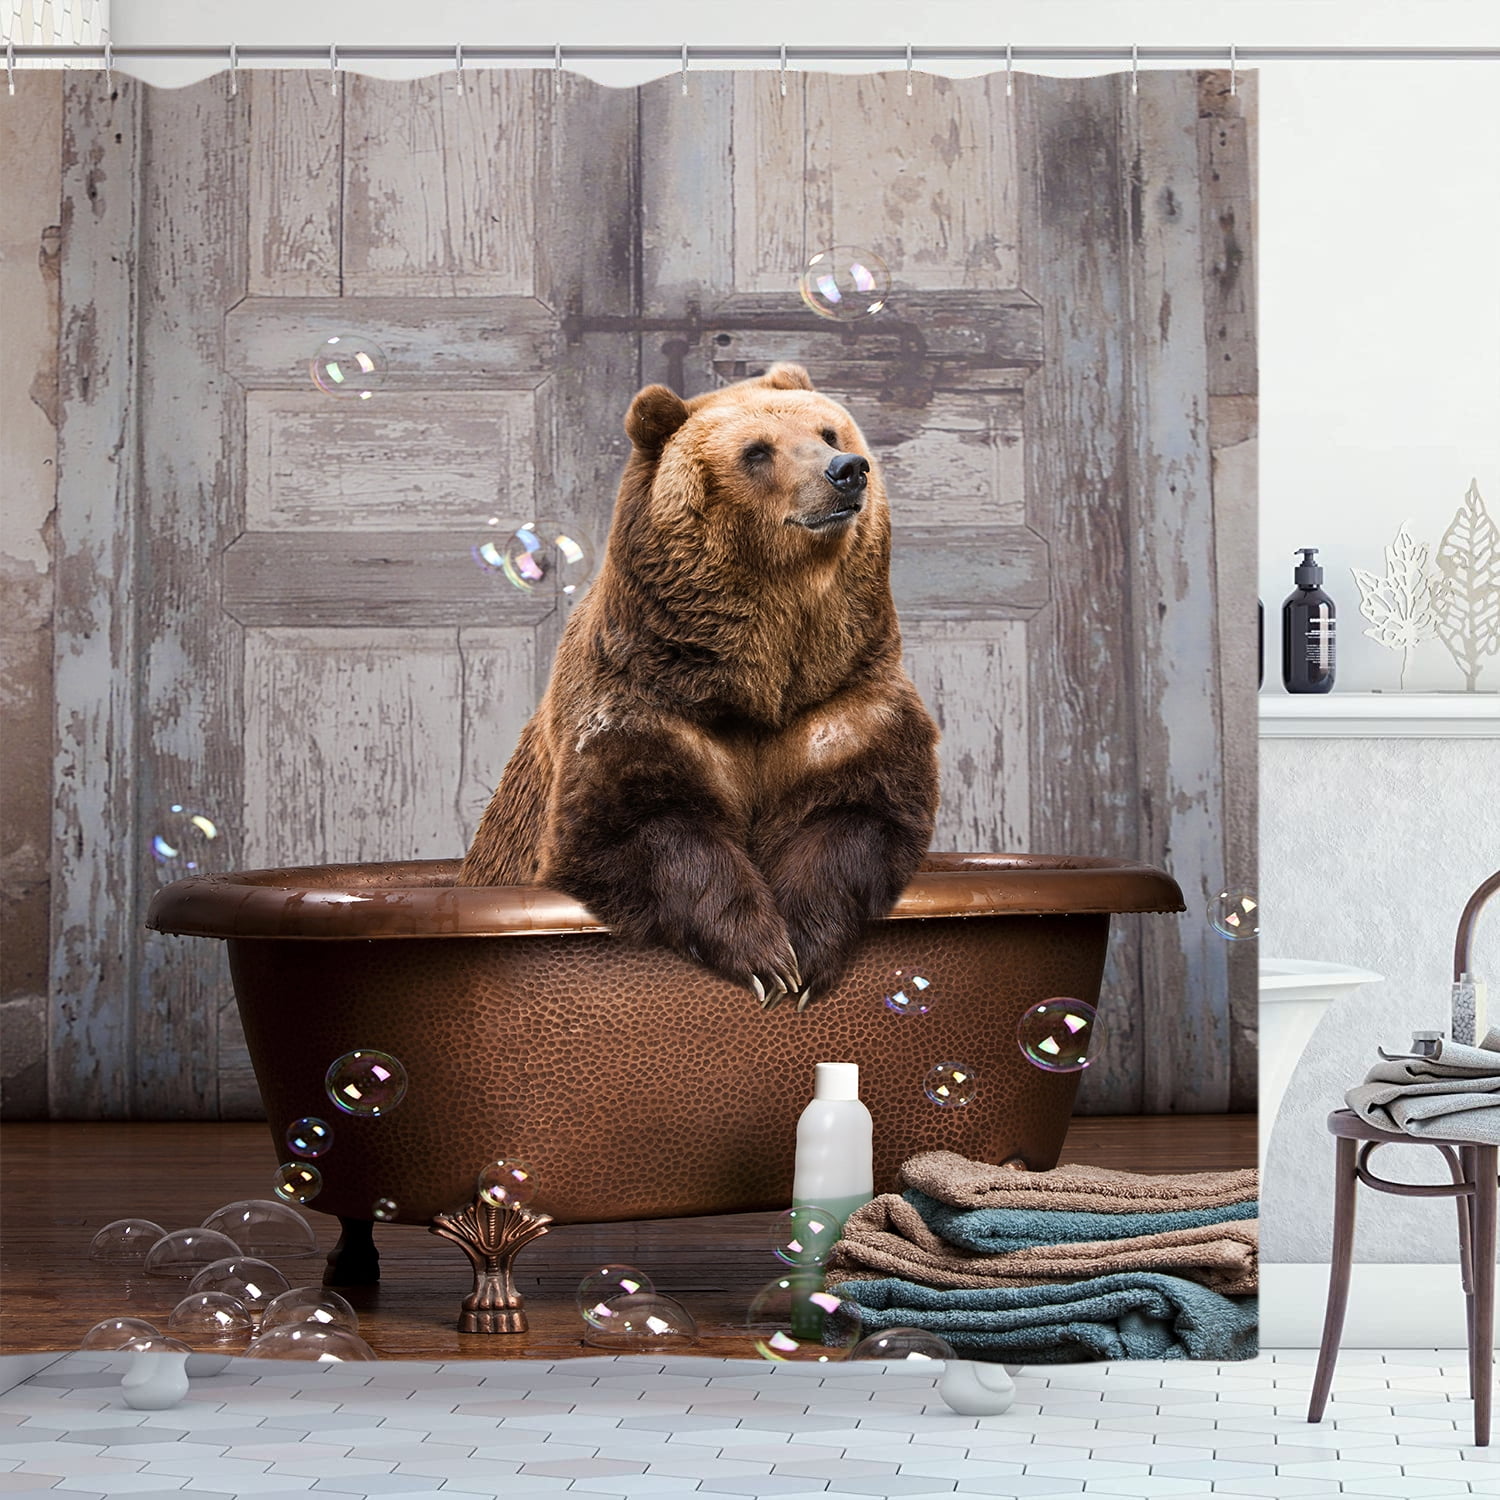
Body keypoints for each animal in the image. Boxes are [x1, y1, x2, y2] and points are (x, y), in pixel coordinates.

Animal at [458, 362, 939, 1009]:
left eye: (829, 432)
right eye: (756, 451)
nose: (846, 471)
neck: (760, 680)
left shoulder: (843, 701)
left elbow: (859, 811)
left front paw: (805, 950)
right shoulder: (643, 700)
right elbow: (638, 825)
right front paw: (765, 957)